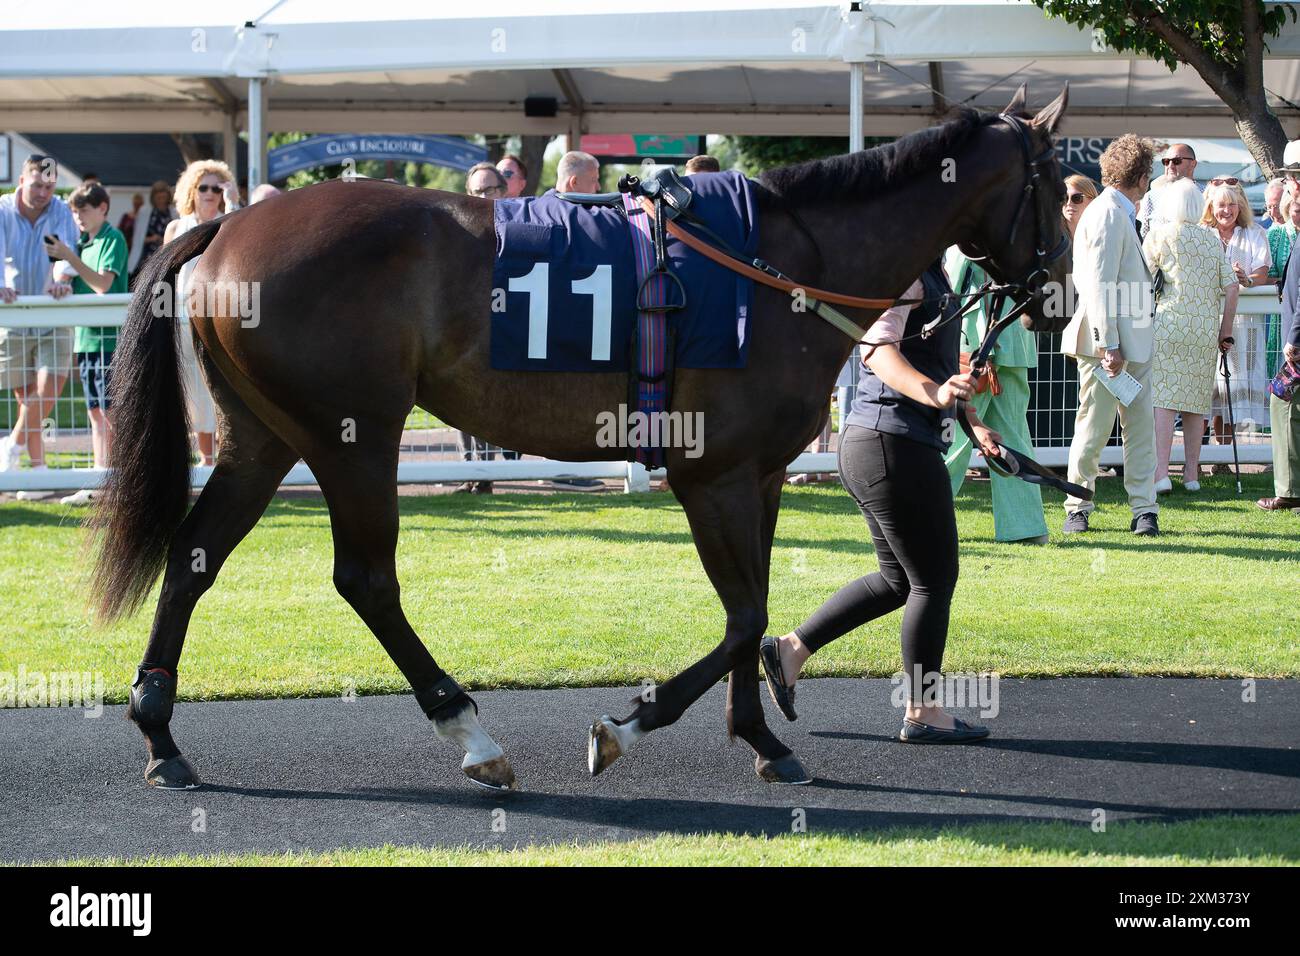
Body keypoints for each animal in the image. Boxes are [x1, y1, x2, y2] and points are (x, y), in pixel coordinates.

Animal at [90, 84, 1070, 792]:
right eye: (1055, 188)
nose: (1057, 293)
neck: (786, 266)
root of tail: (228, 223)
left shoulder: (757, 474)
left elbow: (752, 613)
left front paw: (761, 739)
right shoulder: (709, 473)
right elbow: (743, 616)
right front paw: (628, 723)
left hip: (263, 434)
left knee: (194, 556)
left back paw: (160, 734)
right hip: (353, 435)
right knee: (364, 578)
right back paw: (469, 729)